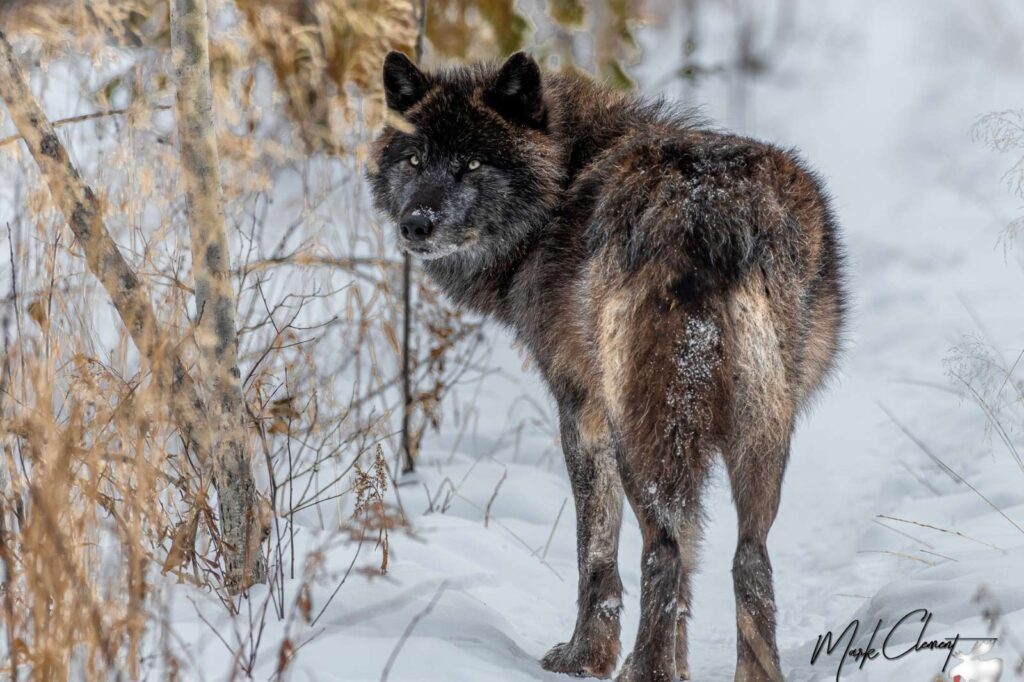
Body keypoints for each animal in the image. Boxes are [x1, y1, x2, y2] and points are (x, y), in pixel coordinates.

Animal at [369, 50, 845, 682]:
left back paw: (645, 673)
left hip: (642, 436)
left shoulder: (580, 410)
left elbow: (593, 552)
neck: (563, 186)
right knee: (748, 558)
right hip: (761, 437)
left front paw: (584, 658)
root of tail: (714, 214)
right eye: (415, 159)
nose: (416, 223)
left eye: (471, 163)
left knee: (662, 551)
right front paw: (678, 666)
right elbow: (691, 563)